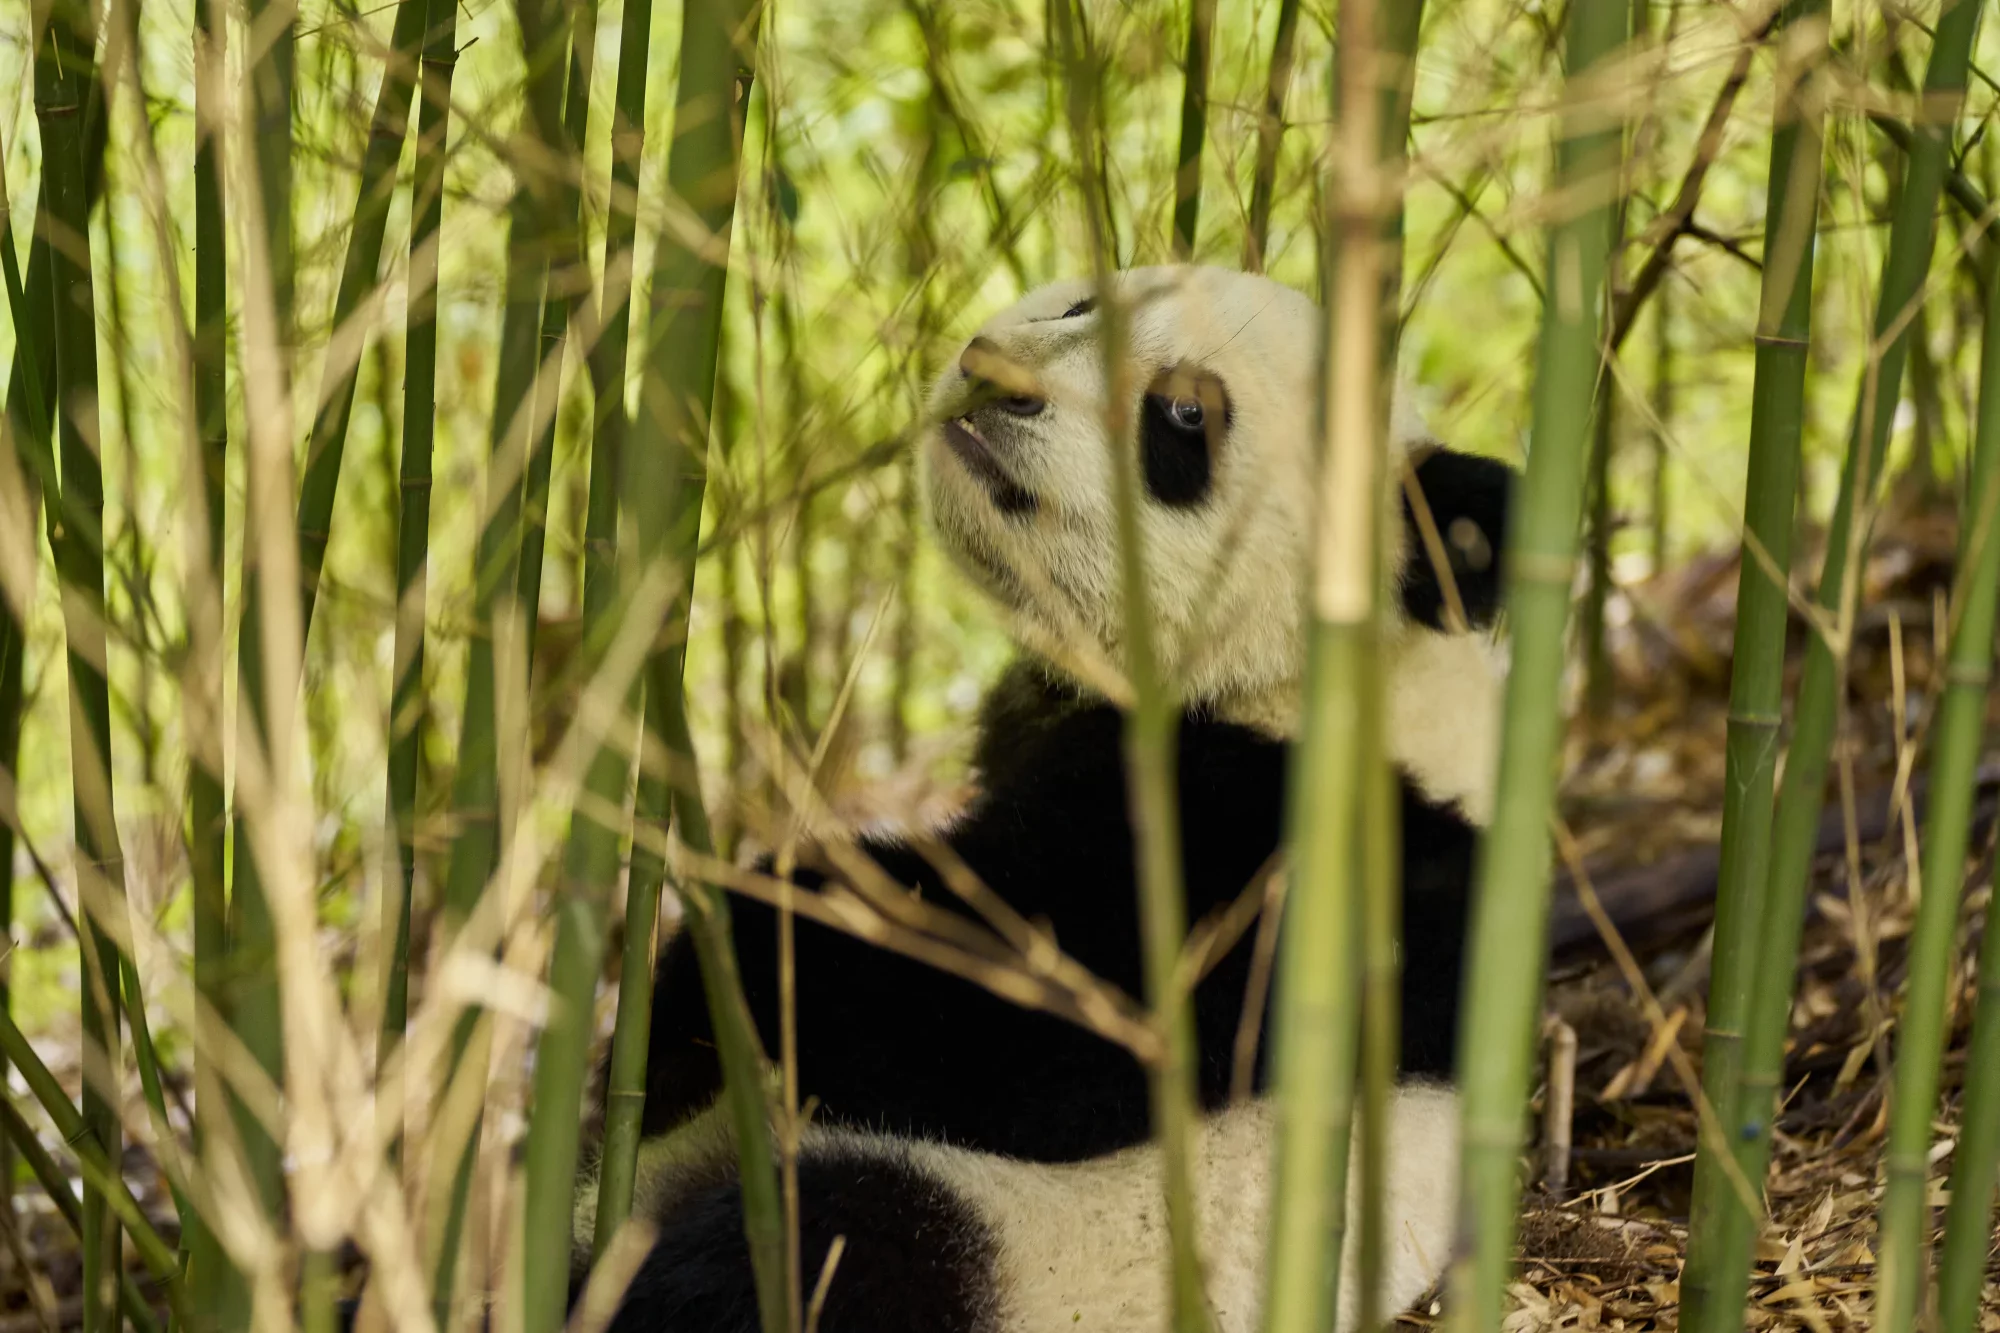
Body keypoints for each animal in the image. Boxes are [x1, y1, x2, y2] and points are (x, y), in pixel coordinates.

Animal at [570, 265, 1516, 1332]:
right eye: (1081, 303)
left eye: (1185, 412)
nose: (994, 374)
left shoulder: (1277, 852)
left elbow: (1019, 1021)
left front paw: (705, 981)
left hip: (1014, 1245)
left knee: (819, 1247)